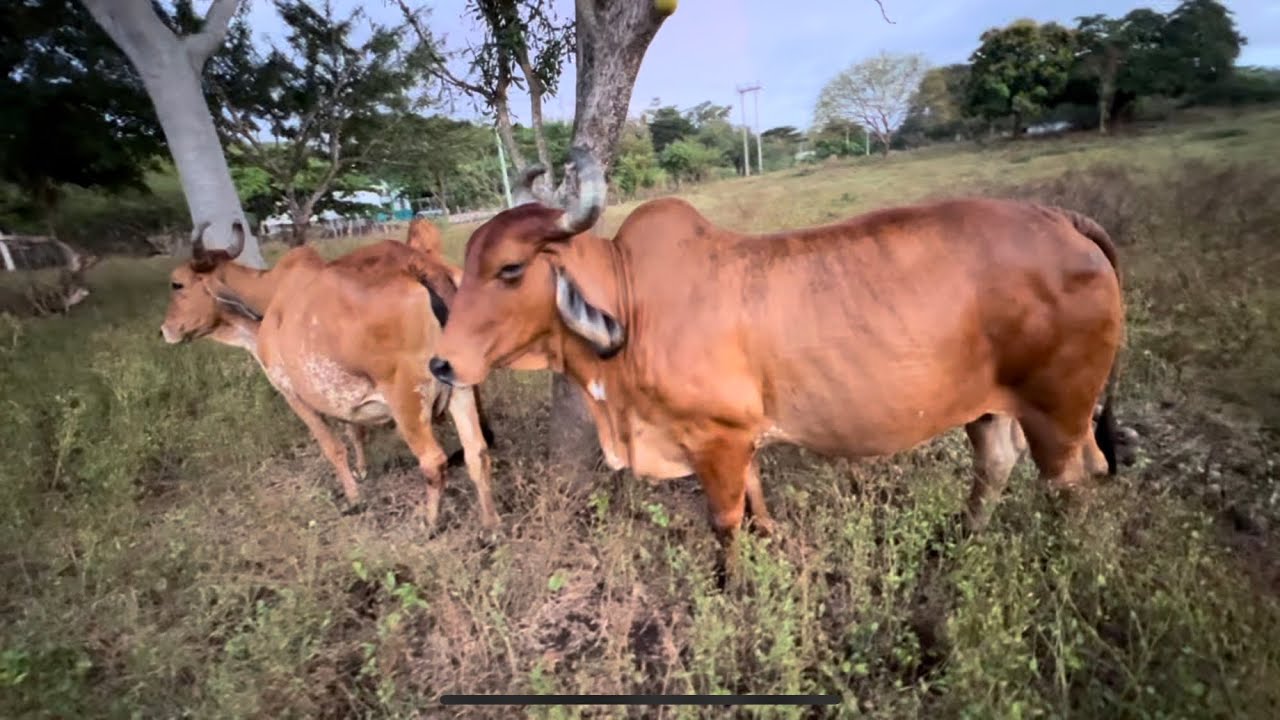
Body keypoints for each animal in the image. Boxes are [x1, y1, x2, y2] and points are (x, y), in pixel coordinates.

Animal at [161, 221, 499, 530]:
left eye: (177, 284)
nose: (165, 329)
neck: (269, 301)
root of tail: (417, 267)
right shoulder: (345, 392)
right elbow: (354, 431)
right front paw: (362, 470)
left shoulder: (292, 393)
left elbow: (332, 447)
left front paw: (354, 497)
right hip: (459, 390)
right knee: (477, 453)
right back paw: (489, 526)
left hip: (407, 401)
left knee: (433, 462)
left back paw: (429, 523)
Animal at [427, 147, 1125, 577]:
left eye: (510, 269)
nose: (440, 365)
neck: (632, 299)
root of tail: (1060, 217)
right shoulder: (740, 434)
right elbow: (756, 498)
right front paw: (770, 542)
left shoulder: (714, 437)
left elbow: (724, 518)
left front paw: (729, 585)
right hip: (989, 406)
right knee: (1000, 464)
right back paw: (957, 537)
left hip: (1058, 410)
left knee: (1072, 483)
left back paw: (1069, 563)